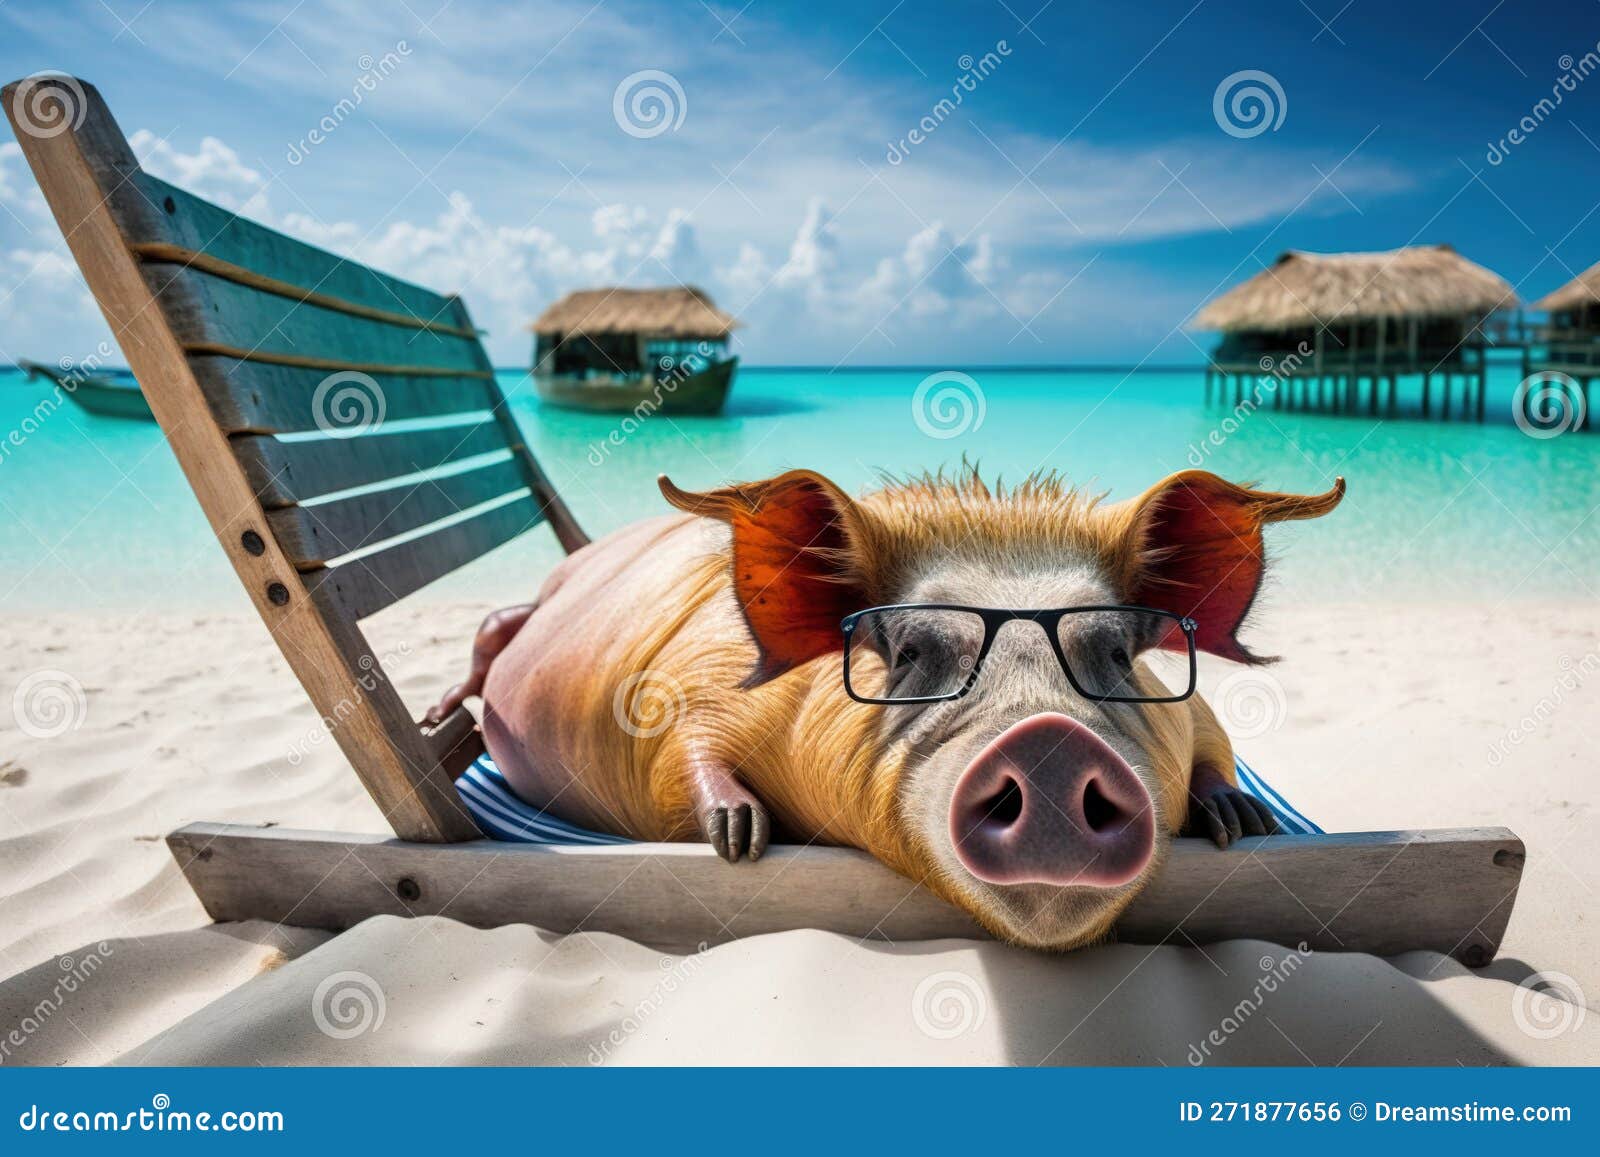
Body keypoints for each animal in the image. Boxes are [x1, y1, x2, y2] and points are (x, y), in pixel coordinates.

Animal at [429, 466, 1344, 950]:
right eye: (906, 652)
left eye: (1117, 652)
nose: (1049, 741)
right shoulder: (687, 691)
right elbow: (693, 755)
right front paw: (740, 838)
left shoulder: (1192, 712)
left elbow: (1218, 750)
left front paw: (1244, 822)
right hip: (531, 612)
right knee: (492, 630)